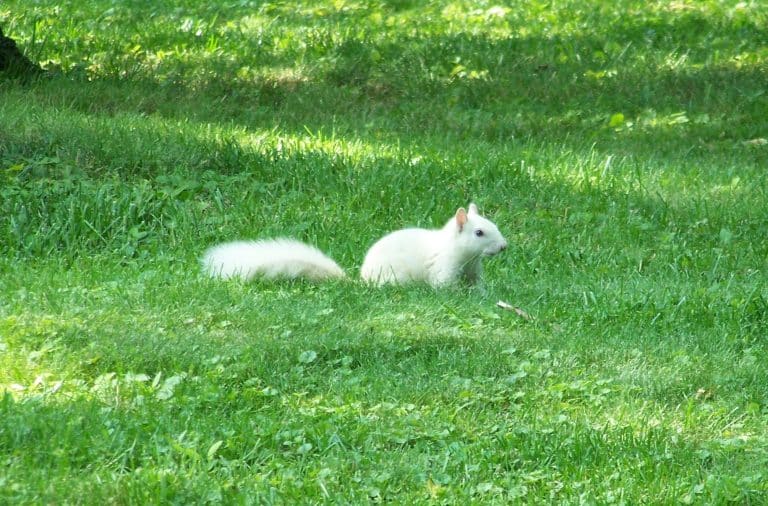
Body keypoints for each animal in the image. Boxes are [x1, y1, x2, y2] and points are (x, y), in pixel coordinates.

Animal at [202, 203, 507, 288]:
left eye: (493, 223)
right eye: (479, 232)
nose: (504, 246)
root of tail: (362, 280)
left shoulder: (473, 270)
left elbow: (477, 285)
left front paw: (482, 294)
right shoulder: (444, 267)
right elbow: (445, 286)